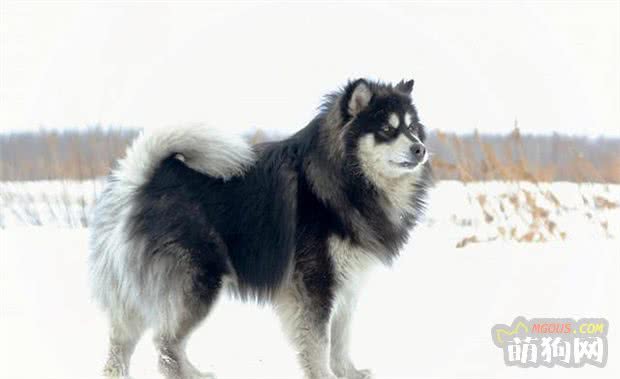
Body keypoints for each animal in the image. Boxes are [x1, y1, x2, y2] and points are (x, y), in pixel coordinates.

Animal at [89, 78, 432, 379]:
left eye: (412, 128)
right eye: (387, 129)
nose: (420, 149)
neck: (343, 178)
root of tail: (144, 179)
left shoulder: (346, 286)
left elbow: (341, 340)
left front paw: (350, 373)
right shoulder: (315, 284)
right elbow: (318, 343)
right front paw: (324, 375)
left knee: (125, 343)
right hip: (197, 283)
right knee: (165, 345)